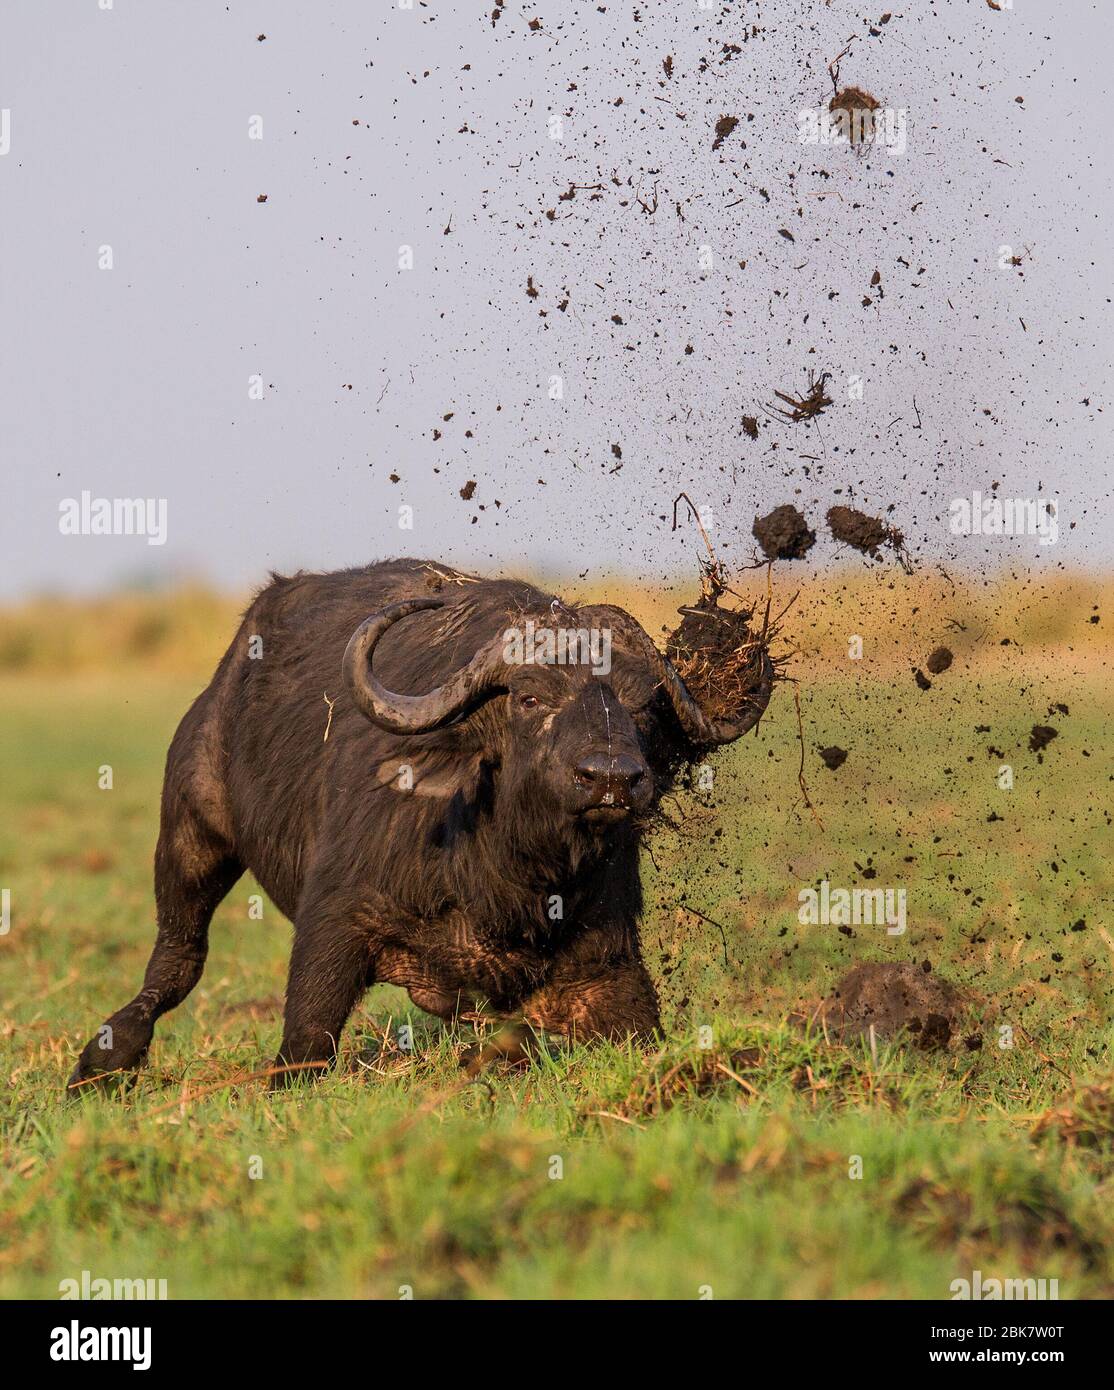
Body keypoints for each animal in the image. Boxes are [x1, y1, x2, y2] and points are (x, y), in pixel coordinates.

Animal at [67, 559, 773, 1090]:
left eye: (644, 705)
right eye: (530, 697)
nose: (611, 778)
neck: (504, 873)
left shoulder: (608, 963)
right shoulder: (336, 921)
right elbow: (302, 1048)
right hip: (192, 826)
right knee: (178, 953)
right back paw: (102, 1061)